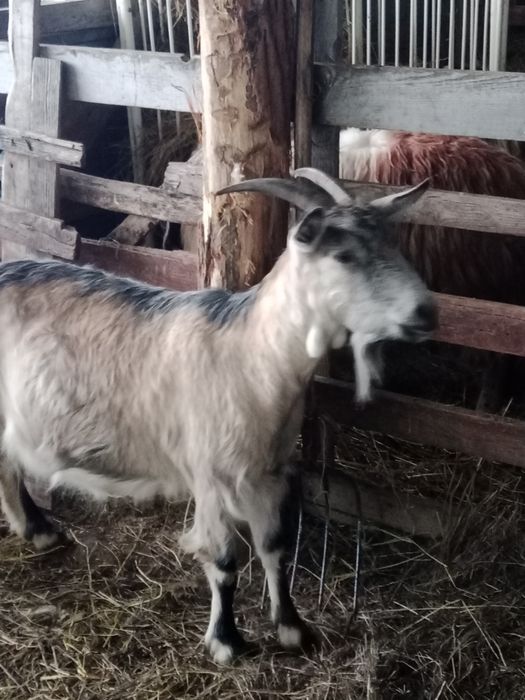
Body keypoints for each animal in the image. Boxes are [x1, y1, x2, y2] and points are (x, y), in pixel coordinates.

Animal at [0, 169, 436, 664]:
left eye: (393, 245)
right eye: (344, 255)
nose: (426, 313)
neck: (251, 355)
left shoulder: (268, 471)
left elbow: (274, 548)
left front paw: (292, 628)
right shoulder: (212, 475)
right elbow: (225, 561)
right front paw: (227, 641)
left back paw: (38, 531)